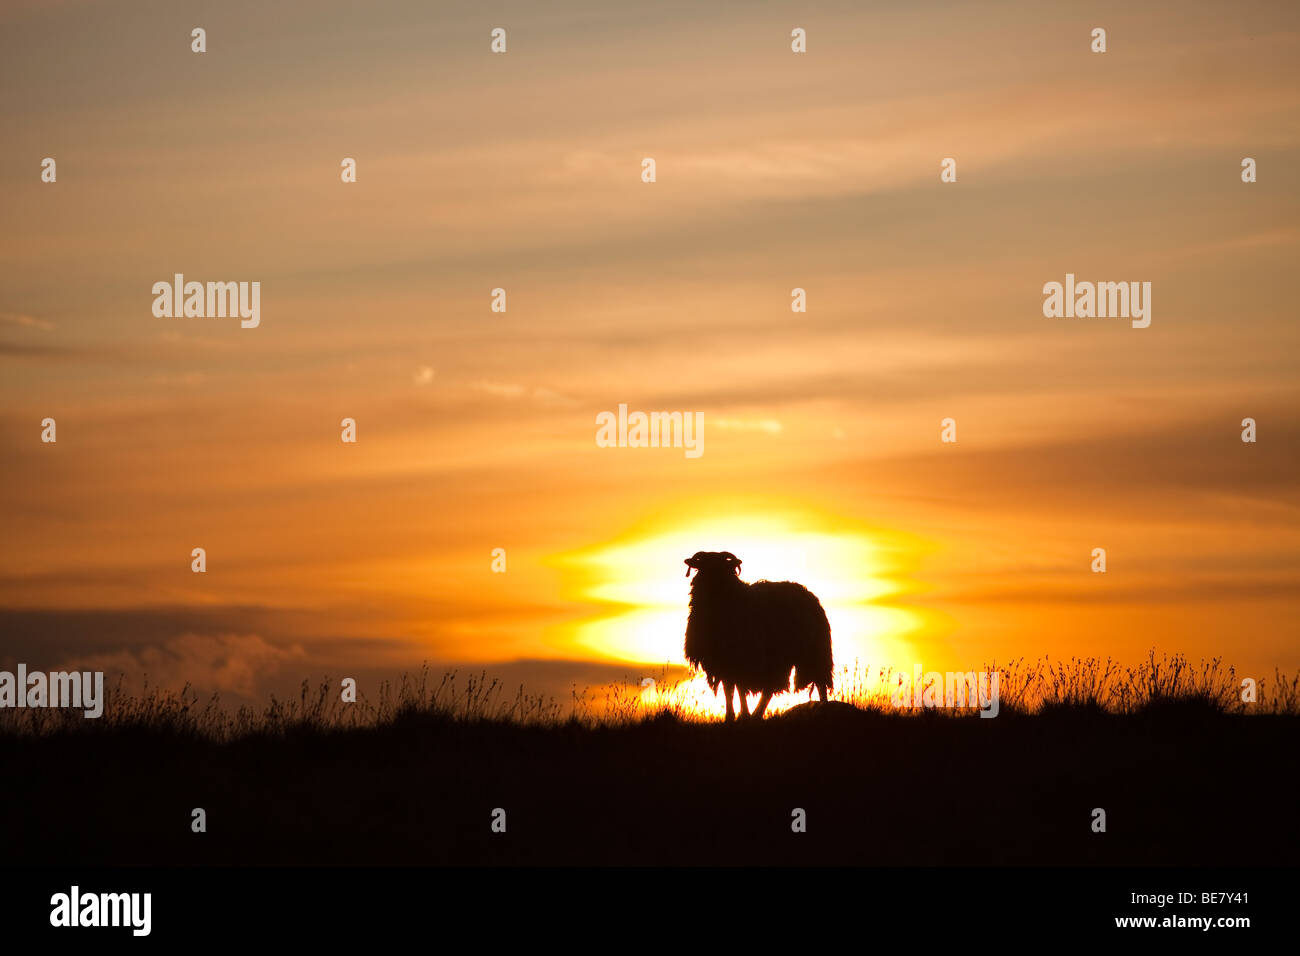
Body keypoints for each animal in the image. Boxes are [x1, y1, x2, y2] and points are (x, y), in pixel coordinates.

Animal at [682, 550, 833, 721]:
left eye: (723, 565)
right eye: (702, 564)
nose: (713, 580)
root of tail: (807, 592)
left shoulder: (743, 657)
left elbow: (739, 687)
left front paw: (743, 715)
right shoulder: (724, 661)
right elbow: (729, 689)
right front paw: (731, 716)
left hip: (810, 652)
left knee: (817, 682)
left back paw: (822, 706)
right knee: (770, 689)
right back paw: (757, 714)